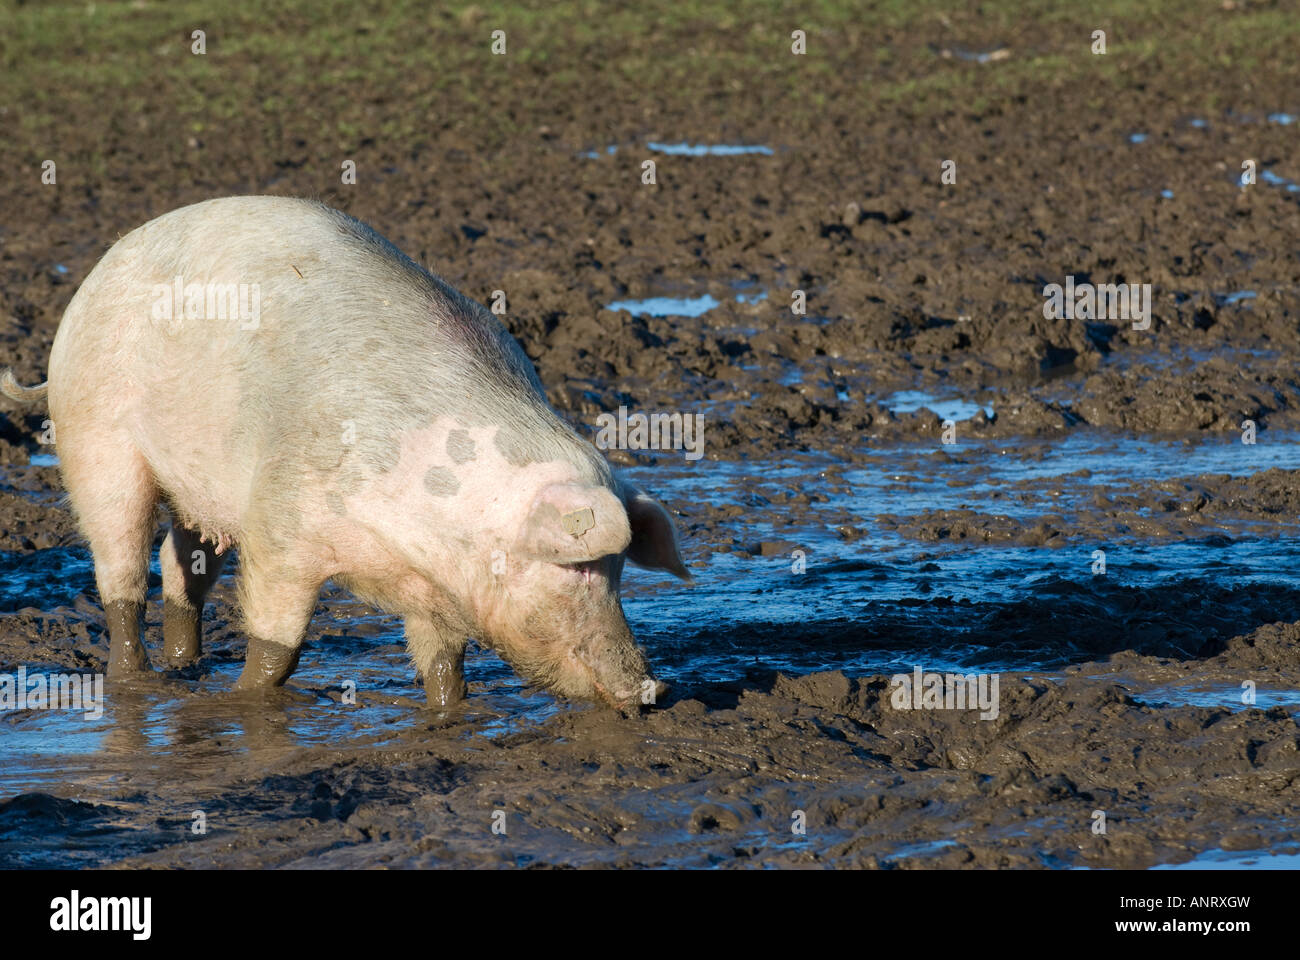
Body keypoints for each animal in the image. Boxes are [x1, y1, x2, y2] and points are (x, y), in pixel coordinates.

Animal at [1, 196, 690, 711]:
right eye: (577, 569)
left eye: (620, 570)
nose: (651, 690)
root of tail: (94, 279)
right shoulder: (281, 522)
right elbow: (278, 648)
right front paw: (244, 701)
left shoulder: (432, 581)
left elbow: (445, 660)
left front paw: (449, 712)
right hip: (98, 439)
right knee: (119, 575)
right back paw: (139, 680)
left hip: (198, 483)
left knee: (182, 567)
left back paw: (185, 666)